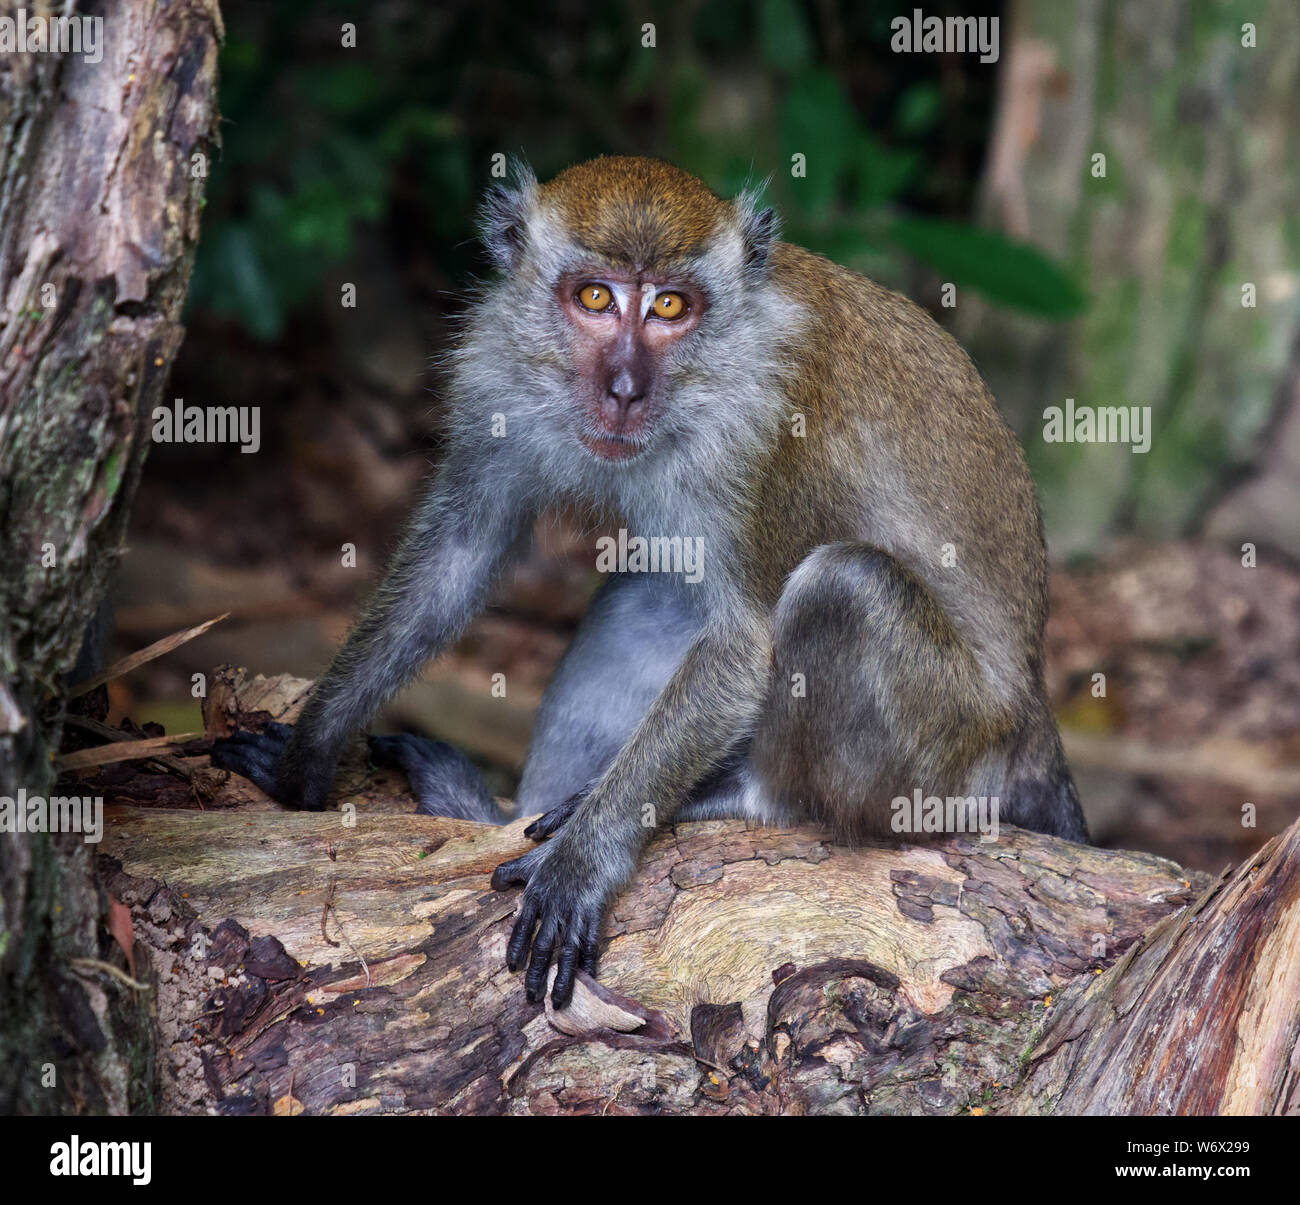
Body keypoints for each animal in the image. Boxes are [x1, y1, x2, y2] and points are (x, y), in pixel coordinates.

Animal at [213, 155, 1088, 1010]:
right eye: (595, 297)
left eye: (671, 305)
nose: (626, 388)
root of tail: (1033, 724)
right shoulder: (497, 371)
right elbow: (457, 556)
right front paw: (306, 755)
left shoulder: (761, 434)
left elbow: (743, 645)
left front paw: (583, 862)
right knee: (640, 593)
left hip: (954, 760)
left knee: (846, 582)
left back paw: (745, 796)